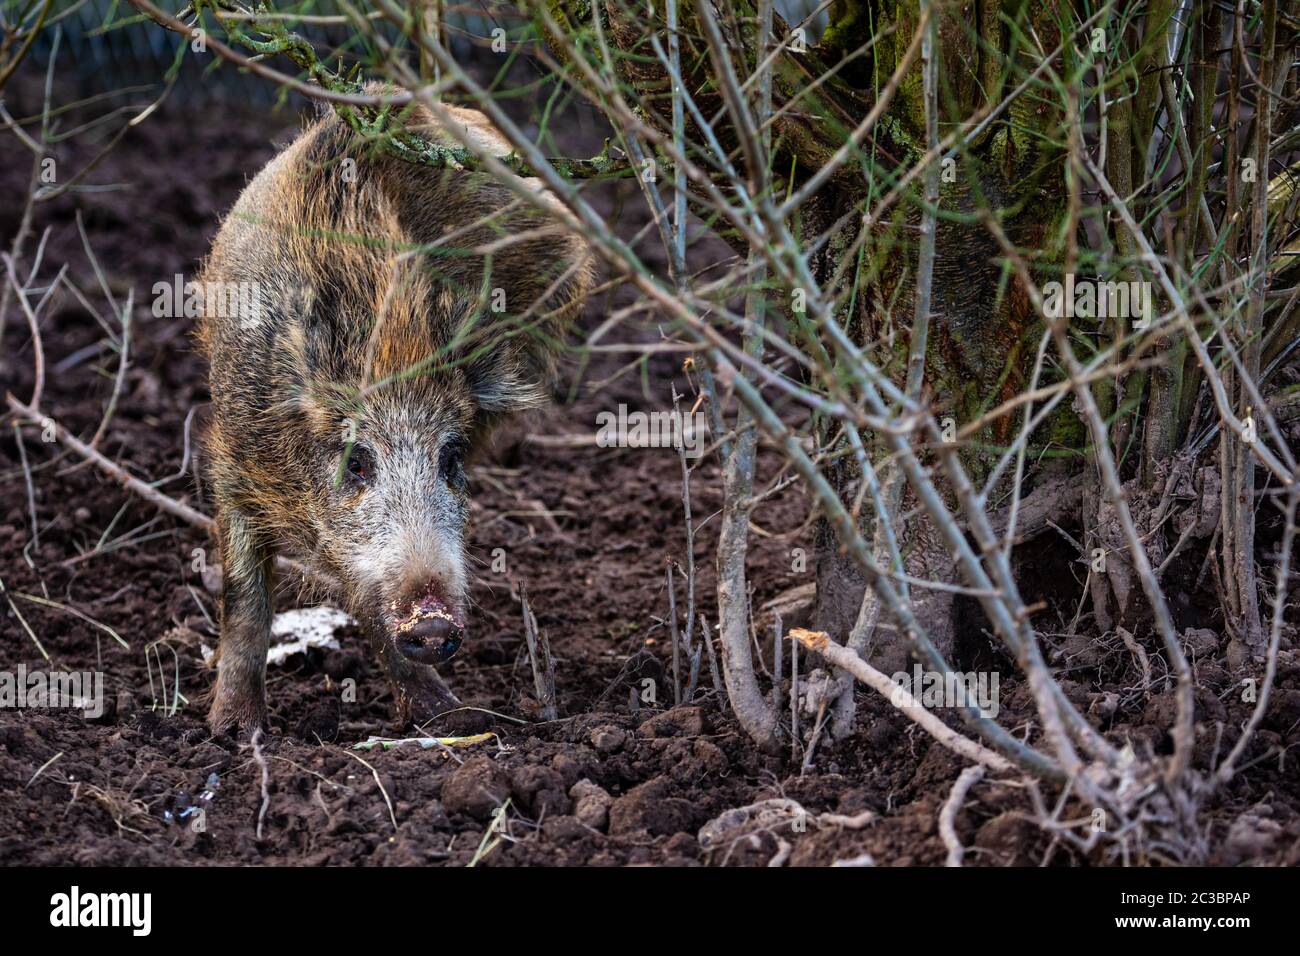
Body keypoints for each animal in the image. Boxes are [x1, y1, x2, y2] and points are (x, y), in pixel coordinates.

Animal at [197, 99, 593, 734]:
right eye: (356, 463)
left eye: (451, 459)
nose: (432, 622)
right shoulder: (231, 459)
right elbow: (245, 596)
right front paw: (234, 730)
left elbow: (364, 599)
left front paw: (452, 719)